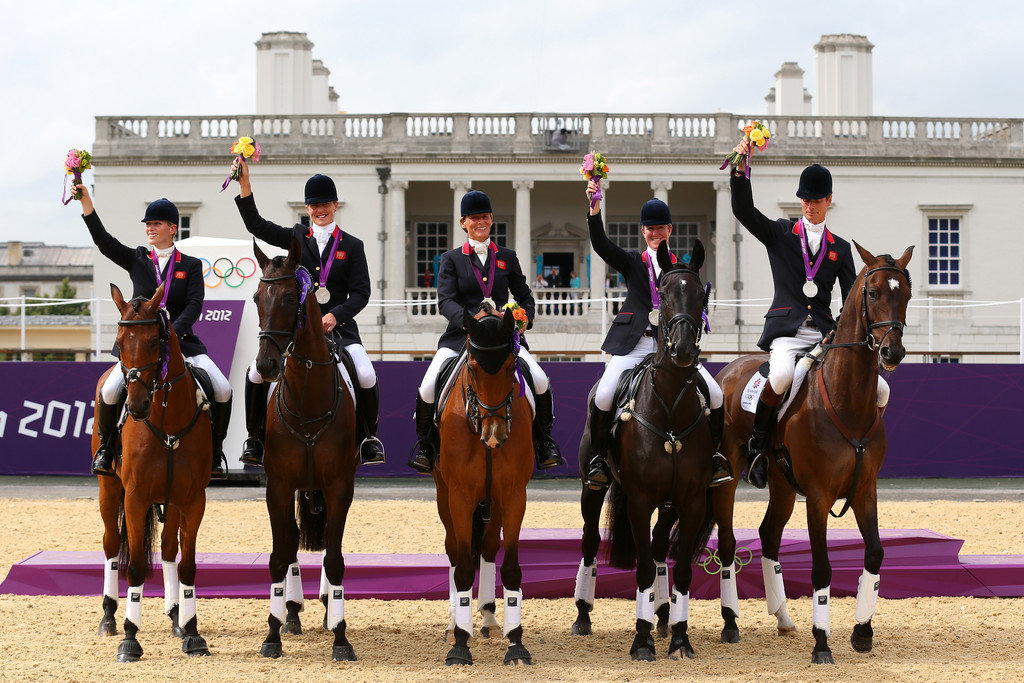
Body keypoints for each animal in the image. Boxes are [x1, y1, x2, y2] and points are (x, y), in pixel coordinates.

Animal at [96, 282, 215, 663]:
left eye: (152, 342)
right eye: (119, 342)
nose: (135, 406)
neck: (166, 418)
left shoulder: (192, 499)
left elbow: (187, 563)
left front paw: (192, 633)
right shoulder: (134, 498)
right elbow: (133, 566)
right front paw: (130, 639)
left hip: (172, 499)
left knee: (166, 549)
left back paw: (176, 615)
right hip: (109, 490)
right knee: (110, 543)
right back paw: (108, 618)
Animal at [250, 240, 360, 663]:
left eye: (288, 298)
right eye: (256, 298)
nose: (266, 365)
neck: (308, 398)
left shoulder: (340, 485)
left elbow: (335, 556)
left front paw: (341, 637)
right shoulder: (277, 485)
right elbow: (280, 554)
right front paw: (272, 633)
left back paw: (328, 611)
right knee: (293, 539)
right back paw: (291, 613)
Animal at [434, 305, 536, 667]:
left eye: (509, 368)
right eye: (474, 369)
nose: (494, 437)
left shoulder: (515, 494)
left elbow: (512, 568)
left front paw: (516, 643)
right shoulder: (460, 496)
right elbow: (463, 566)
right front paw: (459, 646)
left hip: (495, 501)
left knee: (489, 548)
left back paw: (491, 618)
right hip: (444, 496)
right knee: (454, 551)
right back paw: (455, 623)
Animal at [573, 241, 716, 663]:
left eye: (700, 294)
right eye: (664, 294)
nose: (683, 350)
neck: (669, 408)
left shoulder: (690, 502)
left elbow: (679, 569)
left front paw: (680, 639)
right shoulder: (638, 500)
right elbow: (641, 571)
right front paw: (641, 641)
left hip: (668, 506)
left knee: (656, 548)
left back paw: (665, 614)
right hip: (592, 489)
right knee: (590, 542)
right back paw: (583, 615)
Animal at [712, 242, 913, 663]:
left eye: (905, 294)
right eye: (873, 294)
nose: (893, 352)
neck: (847, 400)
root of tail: (729, 369)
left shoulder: (865, 489)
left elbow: (874, 554)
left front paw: (862, 632)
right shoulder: (819, 497)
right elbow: (821, 568)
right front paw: (822, 642)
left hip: (783, 487)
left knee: (769, 536)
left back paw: (783, 618)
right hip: (727, 480)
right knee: (728, 544)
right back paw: (730, 622)